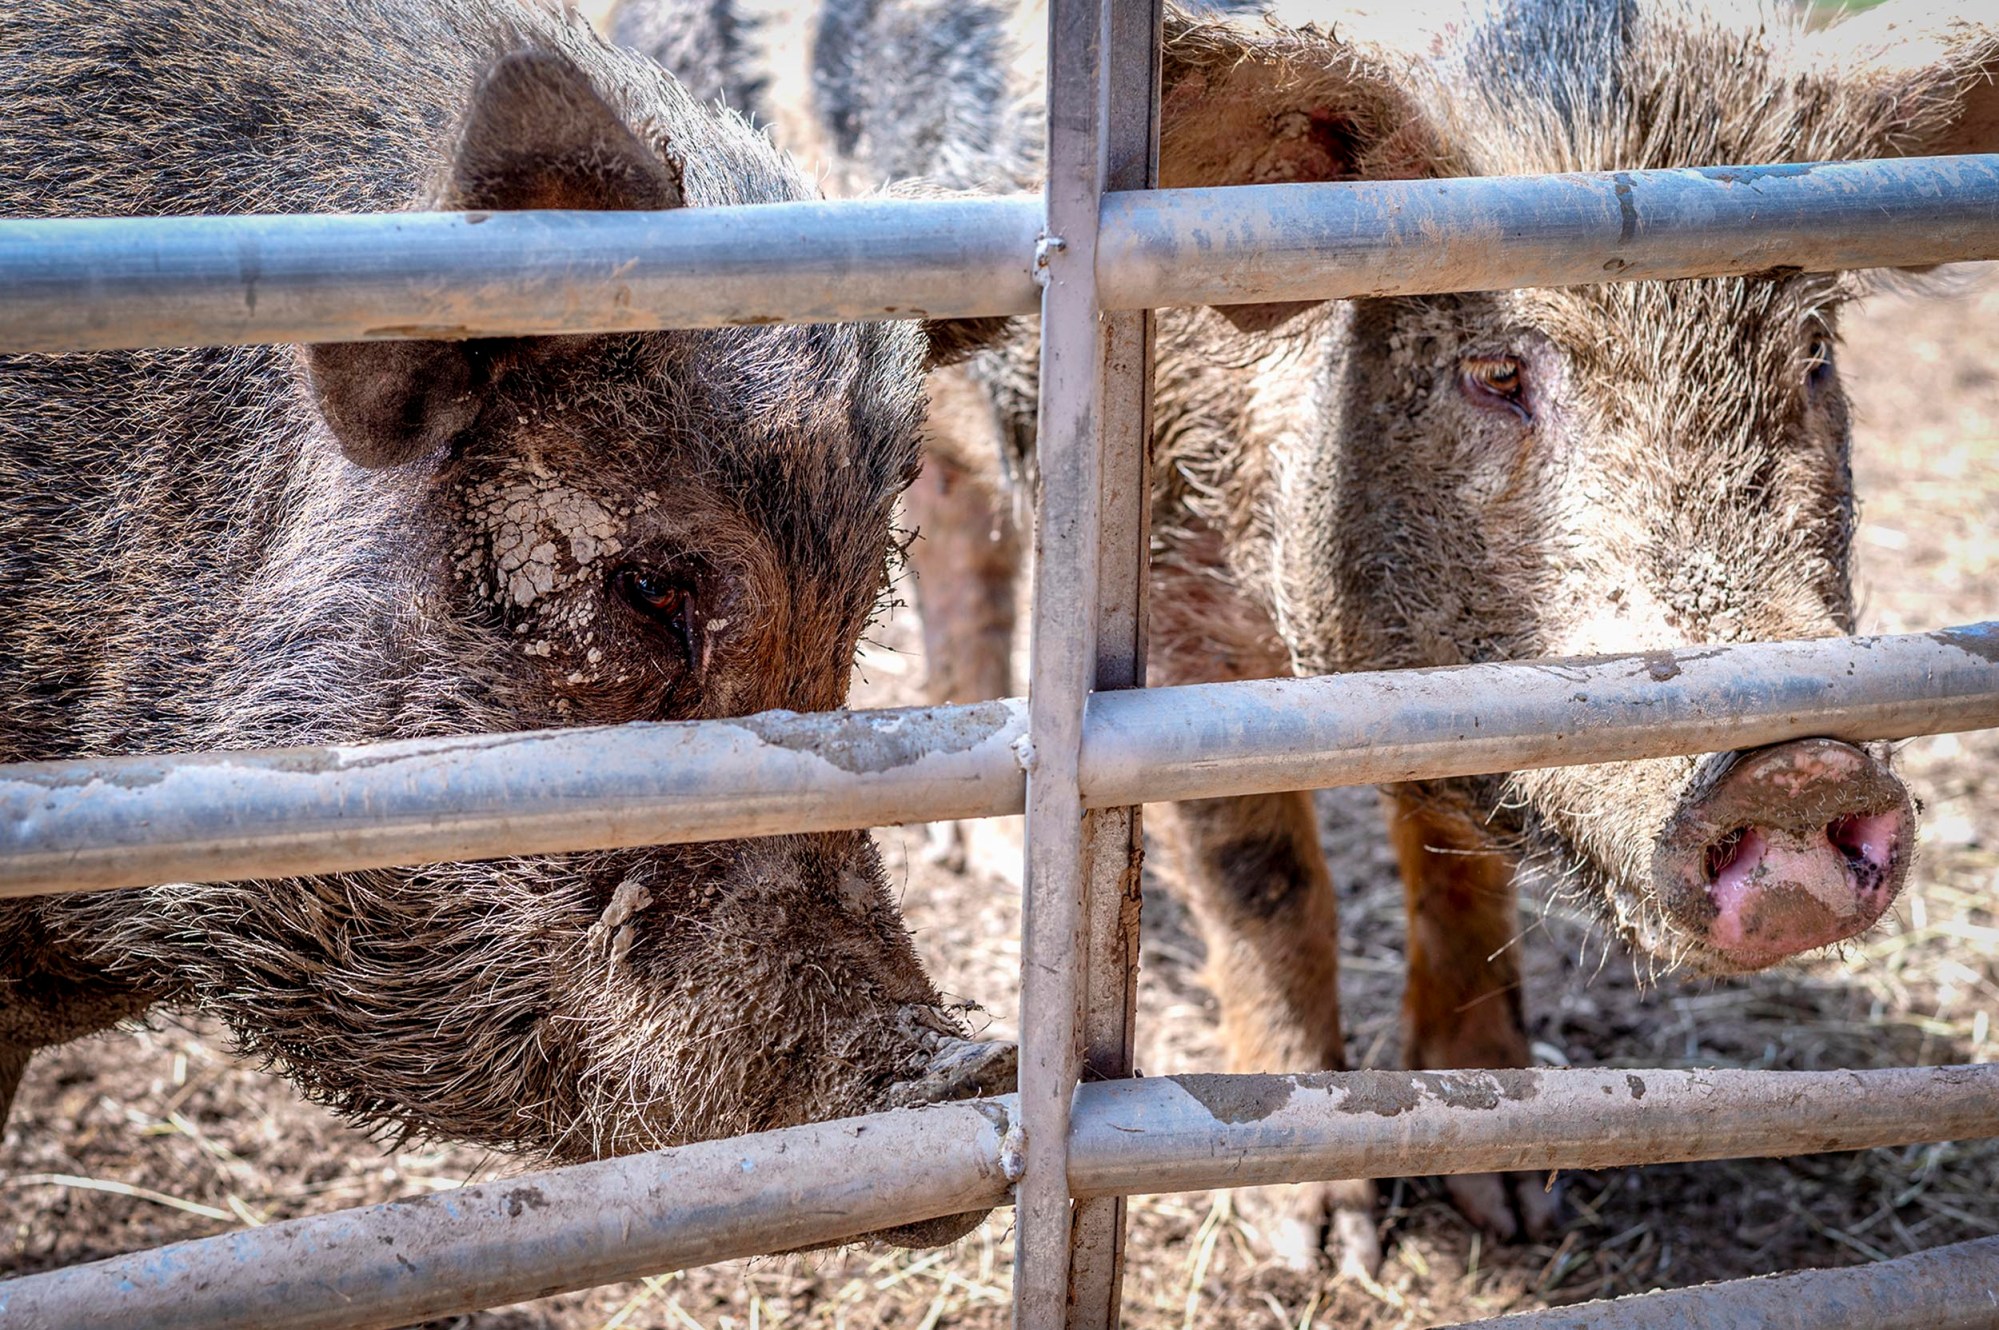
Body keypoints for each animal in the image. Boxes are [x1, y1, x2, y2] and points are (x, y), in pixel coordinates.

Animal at [800, 0, 1998, 1275]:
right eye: (1495, 370)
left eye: (1811, 356)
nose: (1797, 768)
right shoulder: (1169, 621)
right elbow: (1266, 886)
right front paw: (1320, 1243)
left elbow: (1460, 871)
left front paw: (1516, 1202)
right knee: (953, 544)